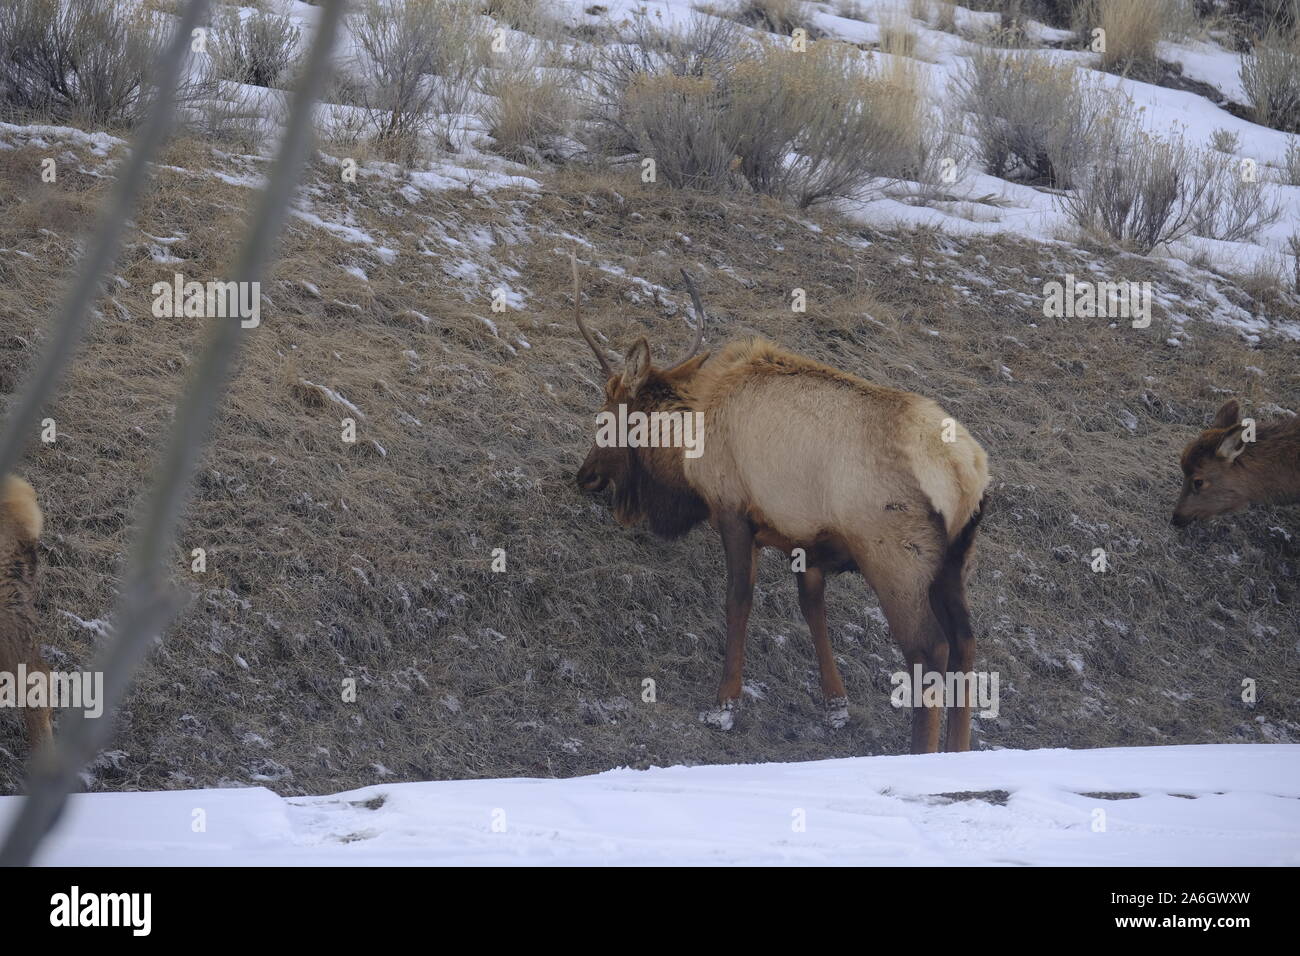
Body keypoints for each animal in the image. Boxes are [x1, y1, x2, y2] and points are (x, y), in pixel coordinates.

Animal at [572, 260, 991, 754]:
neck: (686, 444)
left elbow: (738, 600)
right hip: (956, 562)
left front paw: (724, 704)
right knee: (966, 642)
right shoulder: (806, 539)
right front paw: (835, 704)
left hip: (895, 560)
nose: (584, 476)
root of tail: (966, 471)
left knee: (930, 649)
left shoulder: (733, 508)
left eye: (605, 414)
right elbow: (813, 608)